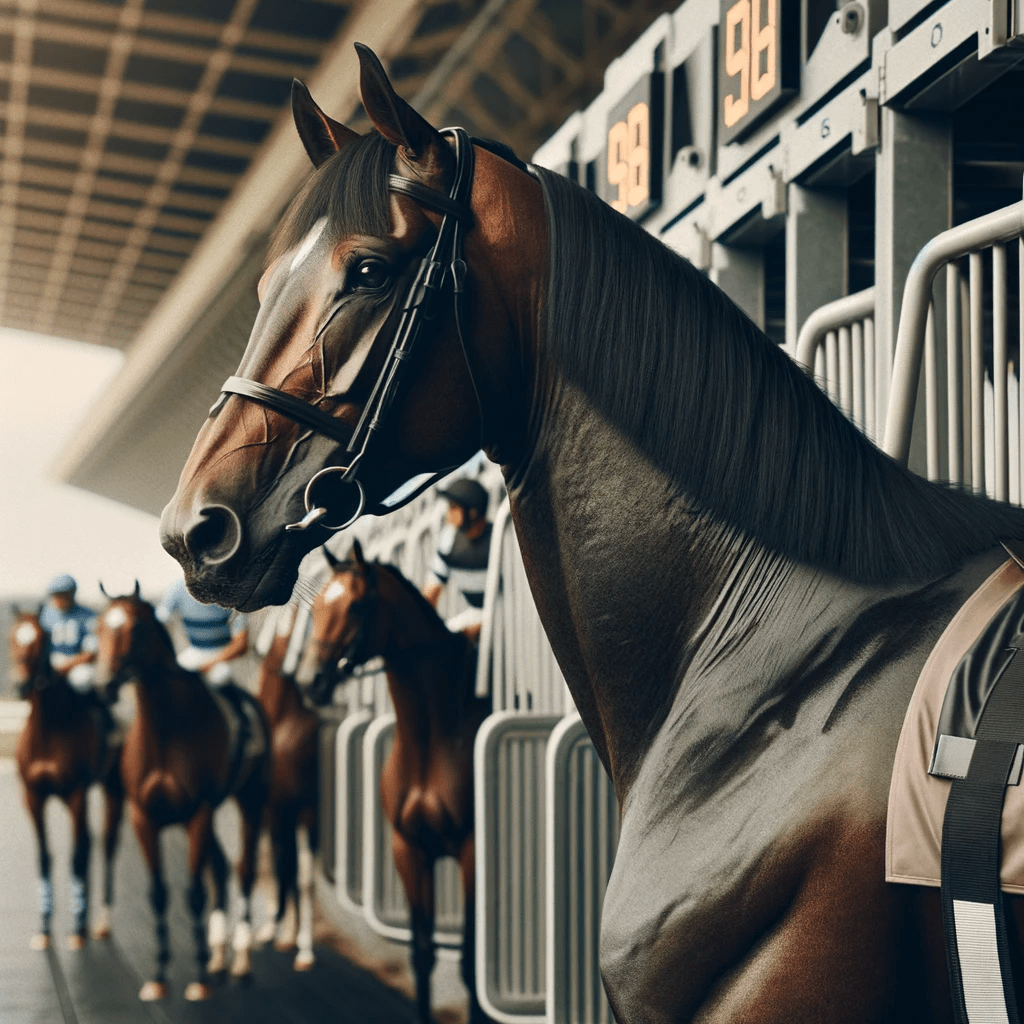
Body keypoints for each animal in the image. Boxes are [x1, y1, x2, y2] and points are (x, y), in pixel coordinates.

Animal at [9, 608, 124, 951]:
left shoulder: (76, 792)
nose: (20, 685)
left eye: (41, 639)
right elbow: (44, 856)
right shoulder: (33, 796)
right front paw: (44, 928)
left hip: (113, 788)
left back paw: (97, 921)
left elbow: (76, 855)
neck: (50, 726)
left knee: (104, 844)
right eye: (12, 638)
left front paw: (76, 930)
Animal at [93, 585, 270, 1002]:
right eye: (99, 626)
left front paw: (200, 978)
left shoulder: (198, 812)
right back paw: (220, 958)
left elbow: (194, 893)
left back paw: (239, 961)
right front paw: (159, 975)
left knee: (244, 869)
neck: (165, 733)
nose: (104, 686)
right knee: (220, 869)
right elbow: (159, 893)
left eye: (137, 628)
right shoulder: (144, 817)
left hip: (250, 799)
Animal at [295, 540, 490, 1023]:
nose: (310, 681)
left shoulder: (471, 851)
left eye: (358, 605)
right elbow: (422, 956)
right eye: (318, 605)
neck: (431, 739)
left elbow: (470, 966)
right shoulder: (409, 849)